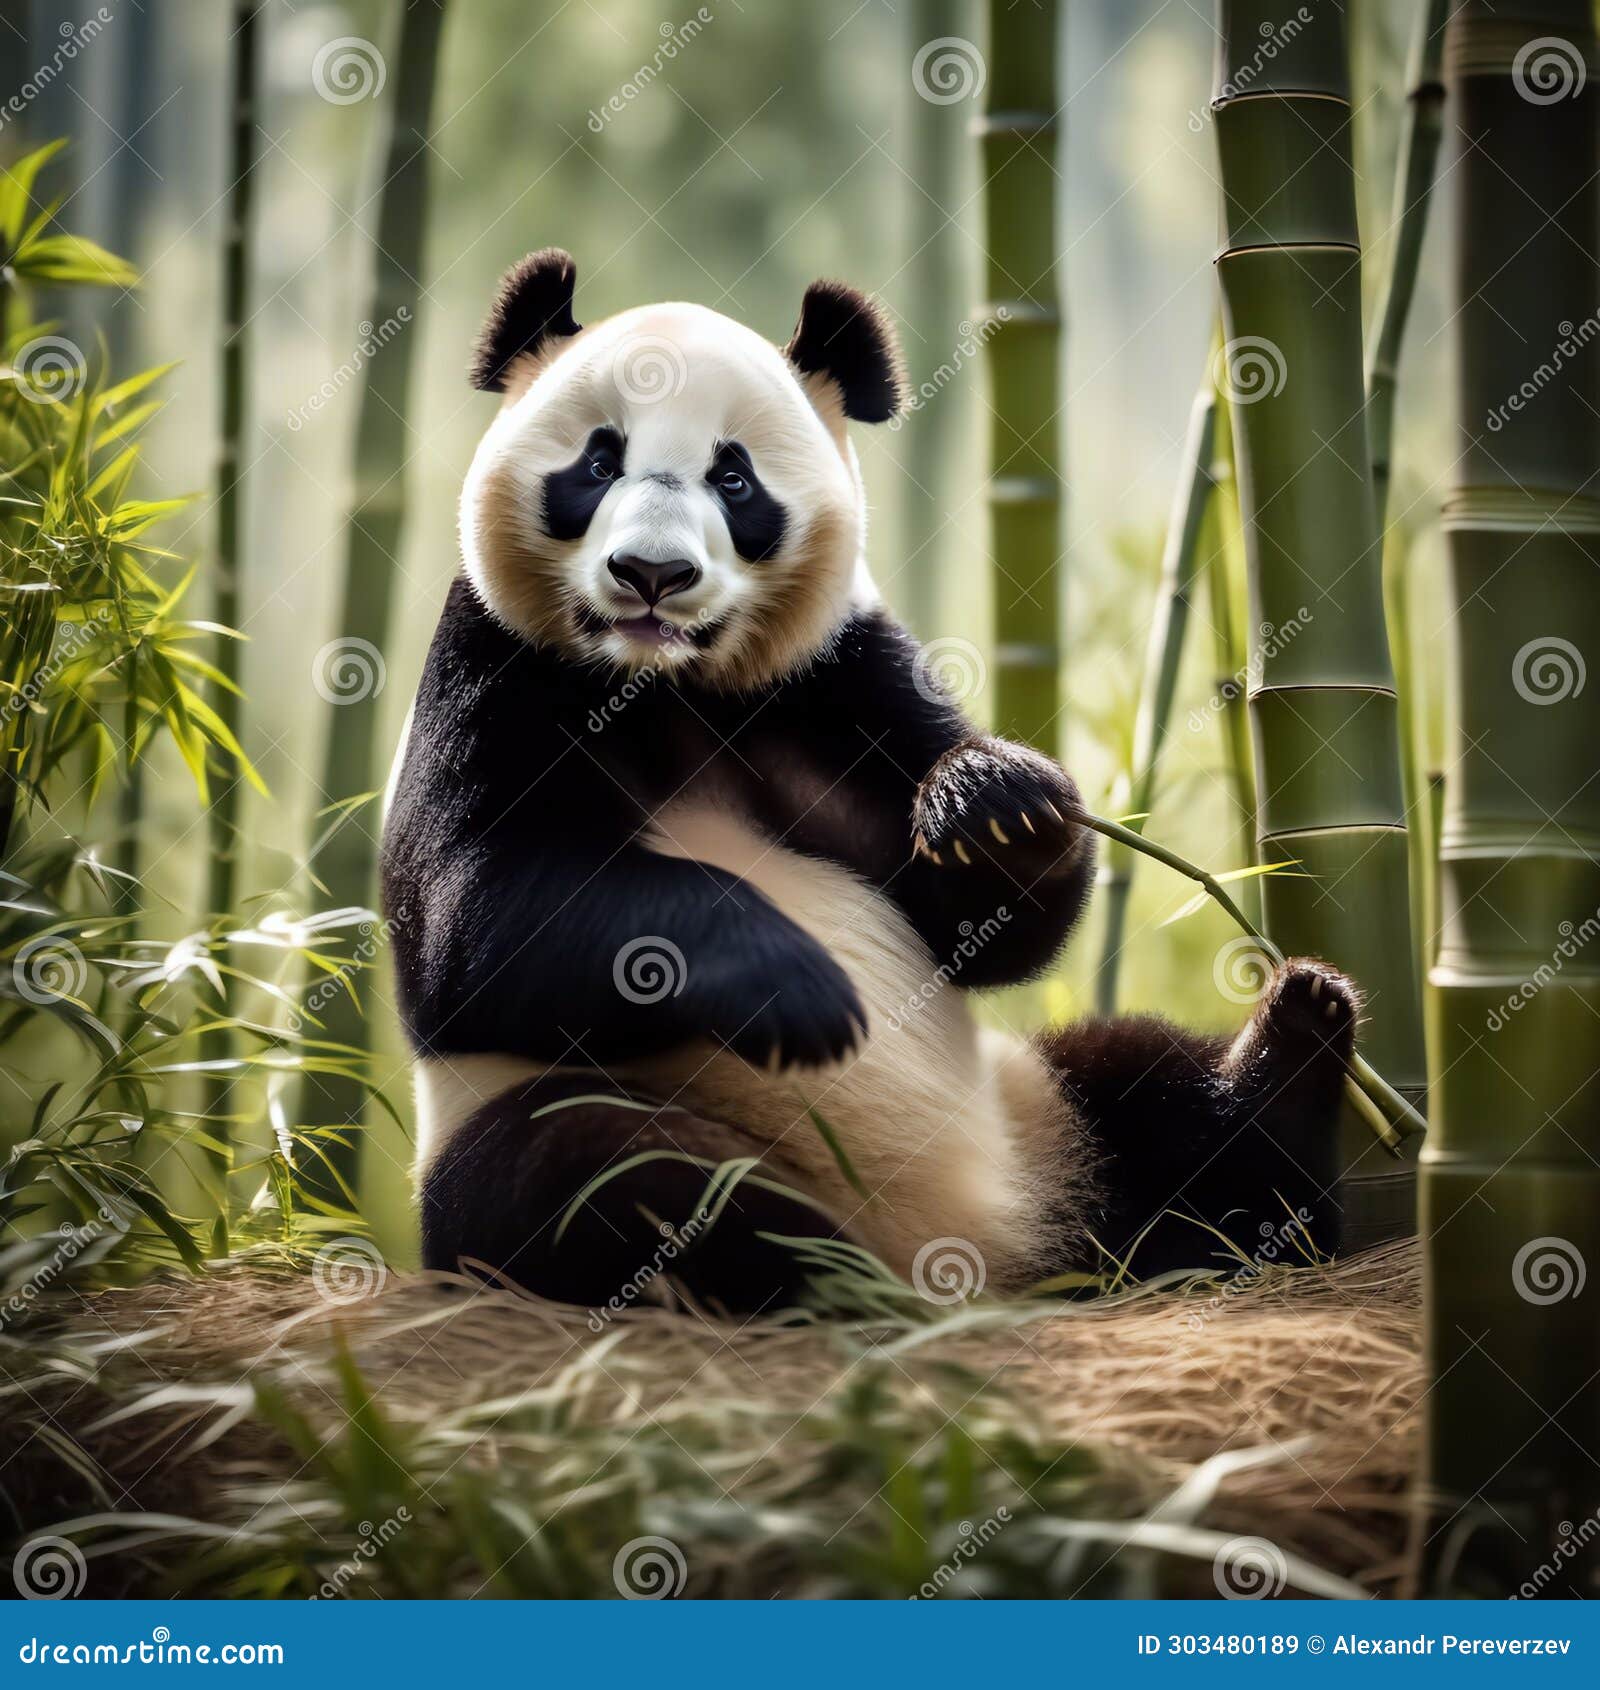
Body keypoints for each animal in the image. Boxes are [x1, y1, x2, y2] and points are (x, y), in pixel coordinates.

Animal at [381, 248, 1359, 1312]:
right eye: (598, 465)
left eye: (734, 478)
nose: (652, 574)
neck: (664, 685)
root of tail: (985, 1261)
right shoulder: (488, 664)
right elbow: (473, 917)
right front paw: (793, 982)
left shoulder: (837, 674)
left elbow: (979, 933)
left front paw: (997, 807)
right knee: (602, 1173)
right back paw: (831, 1281)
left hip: (1036, 1110)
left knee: (1139, 1086)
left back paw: (1288, 1066)